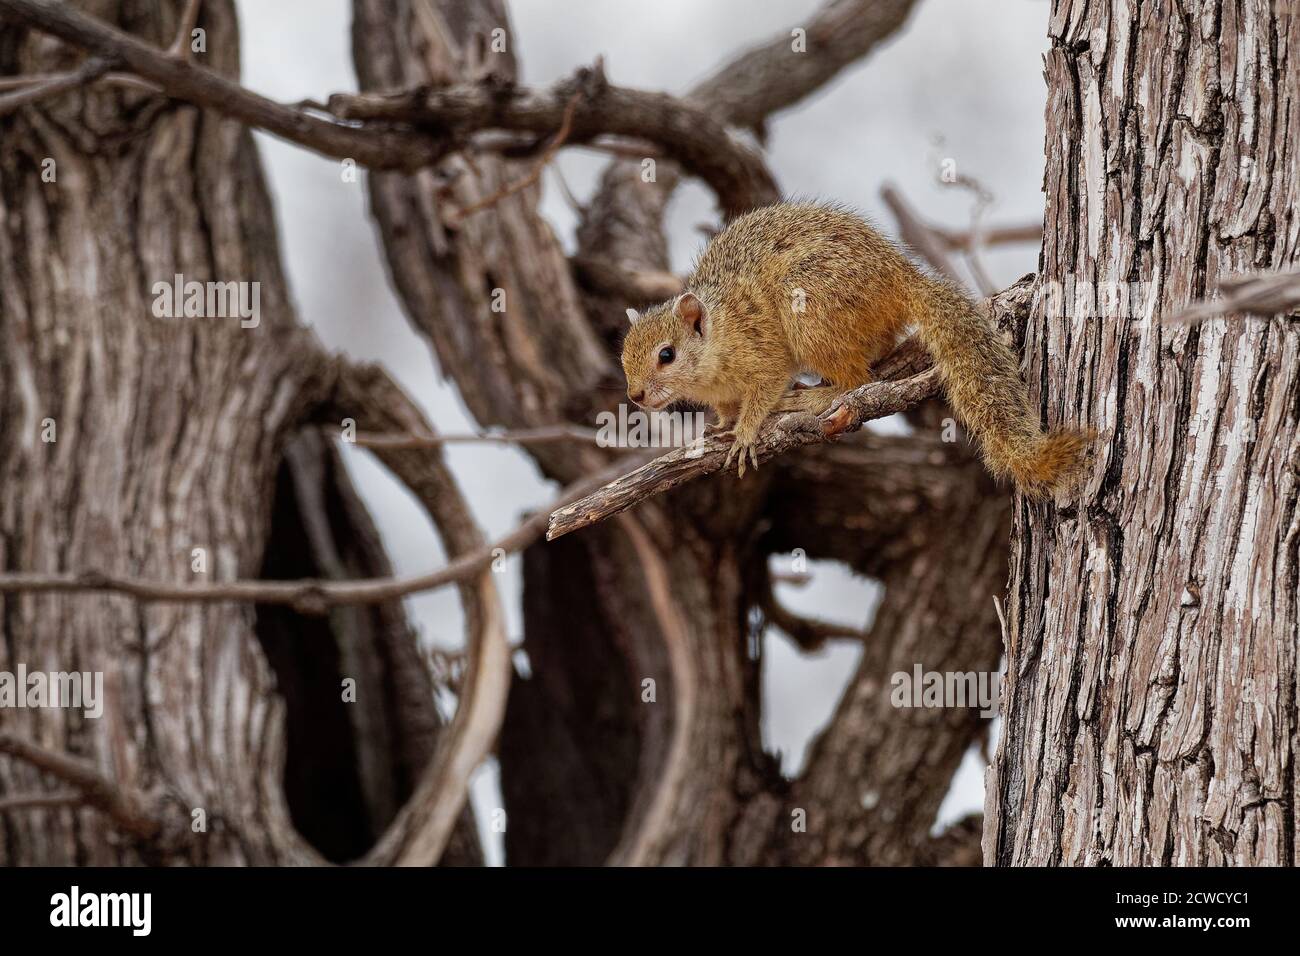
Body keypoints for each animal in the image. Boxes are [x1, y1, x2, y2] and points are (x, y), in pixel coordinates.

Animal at [621, 201, 1091, 497]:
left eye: (666, 354)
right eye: (624, 356)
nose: (635, 395)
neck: (716, 345)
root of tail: (898, 277)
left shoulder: (760, 351)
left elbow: (766, 387)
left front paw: (745, 433)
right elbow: (725, 409)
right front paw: (721, 425)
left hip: (811, 311)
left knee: (855, 380)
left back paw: (815, 398)